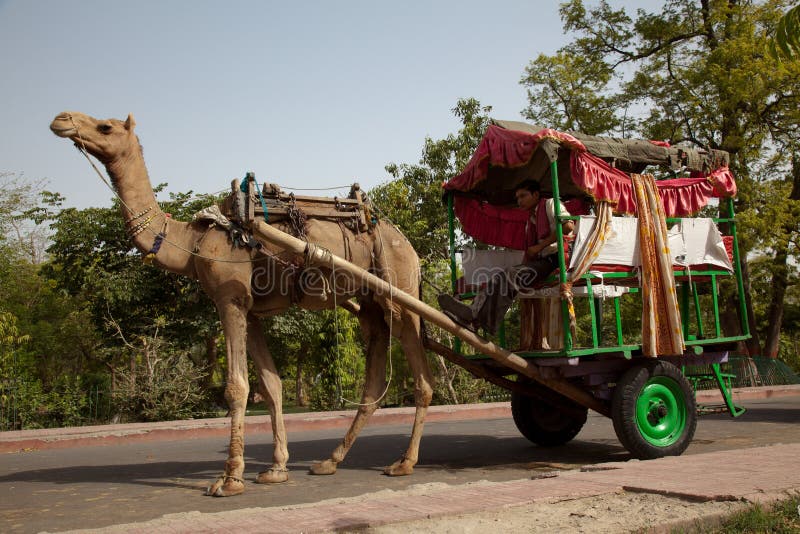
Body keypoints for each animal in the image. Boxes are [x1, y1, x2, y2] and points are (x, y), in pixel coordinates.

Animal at [50, 111, 434, 497]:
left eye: (105, 127)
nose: (61, 120)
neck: (192, 241)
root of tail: (409, 247)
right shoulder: (253, 312)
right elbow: (272, 384)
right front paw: (277, 469)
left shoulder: (230, 298)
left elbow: (237, 387)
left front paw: (230, 478)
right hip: (370, 303)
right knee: (375, 377)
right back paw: (330, 461)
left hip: (399, 286)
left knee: (421, 374)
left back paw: (404, 462)